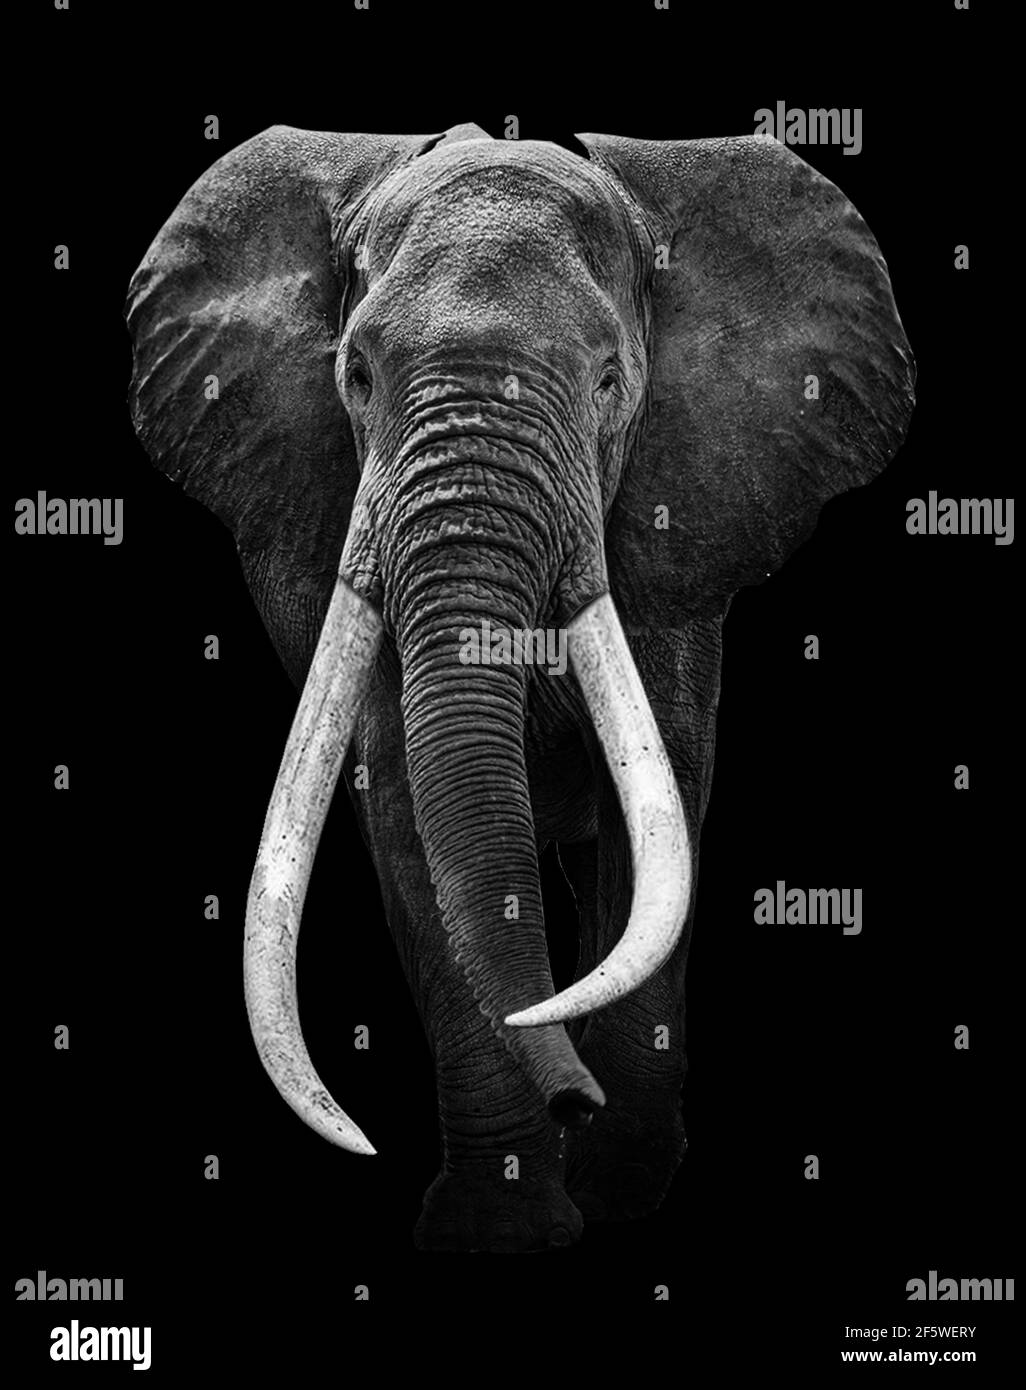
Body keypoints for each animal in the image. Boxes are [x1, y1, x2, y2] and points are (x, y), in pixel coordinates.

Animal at [126, 120, 914, 1253]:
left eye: (608, 382)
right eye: (356, 375)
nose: (572, 1098)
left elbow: (657, 806)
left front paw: (617, 1195)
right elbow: (406, 809)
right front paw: (504, 1227)